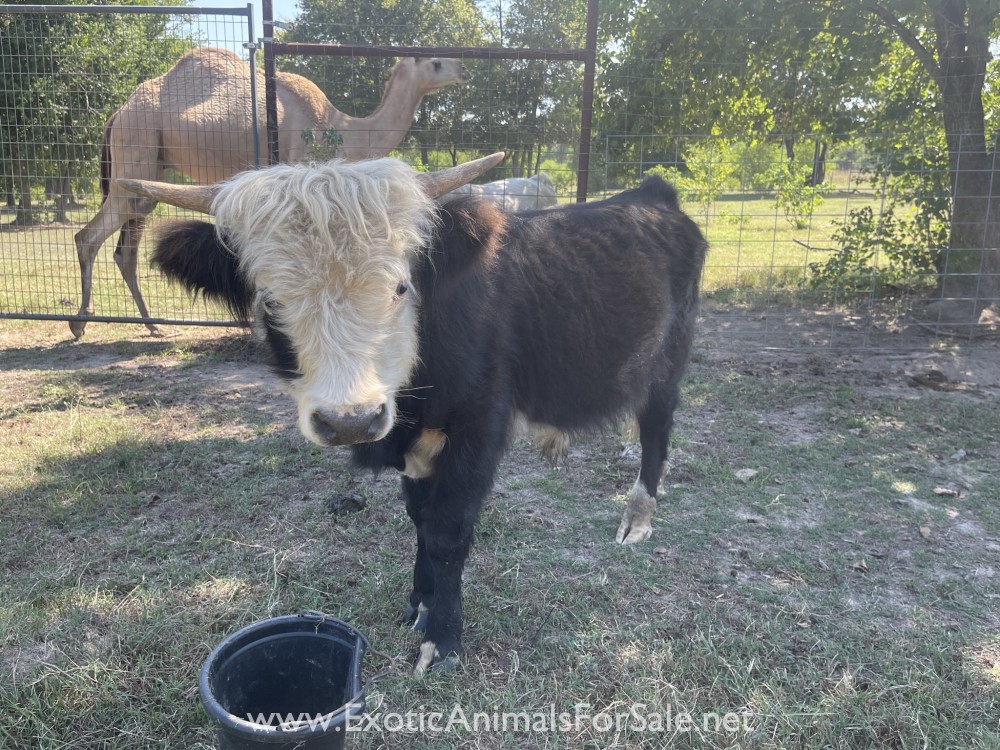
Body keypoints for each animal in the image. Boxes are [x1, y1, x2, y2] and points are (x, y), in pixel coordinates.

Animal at [120, 154, 708, 675]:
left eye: (401, 287)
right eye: (269, 301)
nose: (351, 420)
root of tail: (652, 196)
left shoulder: (478, 428)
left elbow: (447, 530)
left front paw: (442, 641)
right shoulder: (416, 445)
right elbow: (420, 520)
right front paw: (419, 605)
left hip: (667, 362)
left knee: (656, 431)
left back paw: (637, 519)